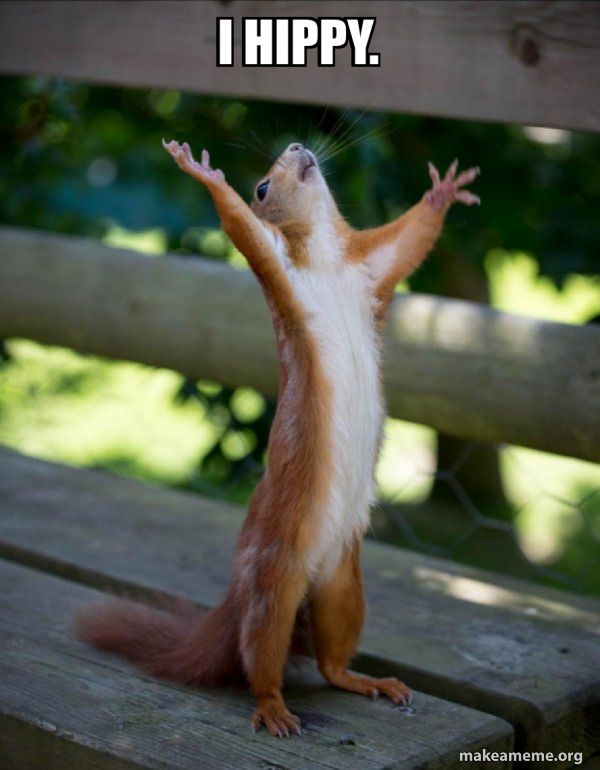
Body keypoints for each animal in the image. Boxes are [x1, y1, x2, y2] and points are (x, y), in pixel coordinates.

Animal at [77, 138, 480, 738]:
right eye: (262, 187)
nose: (296, 147)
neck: (327, 257)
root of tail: (239, 595)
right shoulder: (277, 266)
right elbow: (240, 226)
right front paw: (204, 174)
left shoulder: (372, 267)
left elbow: (409, 240)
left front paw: (443, 192)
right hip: (274, 584)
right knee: (260, 658)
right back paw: (273, 708)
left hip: (344, 586)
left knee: (332, 661)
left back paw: (368, 681)